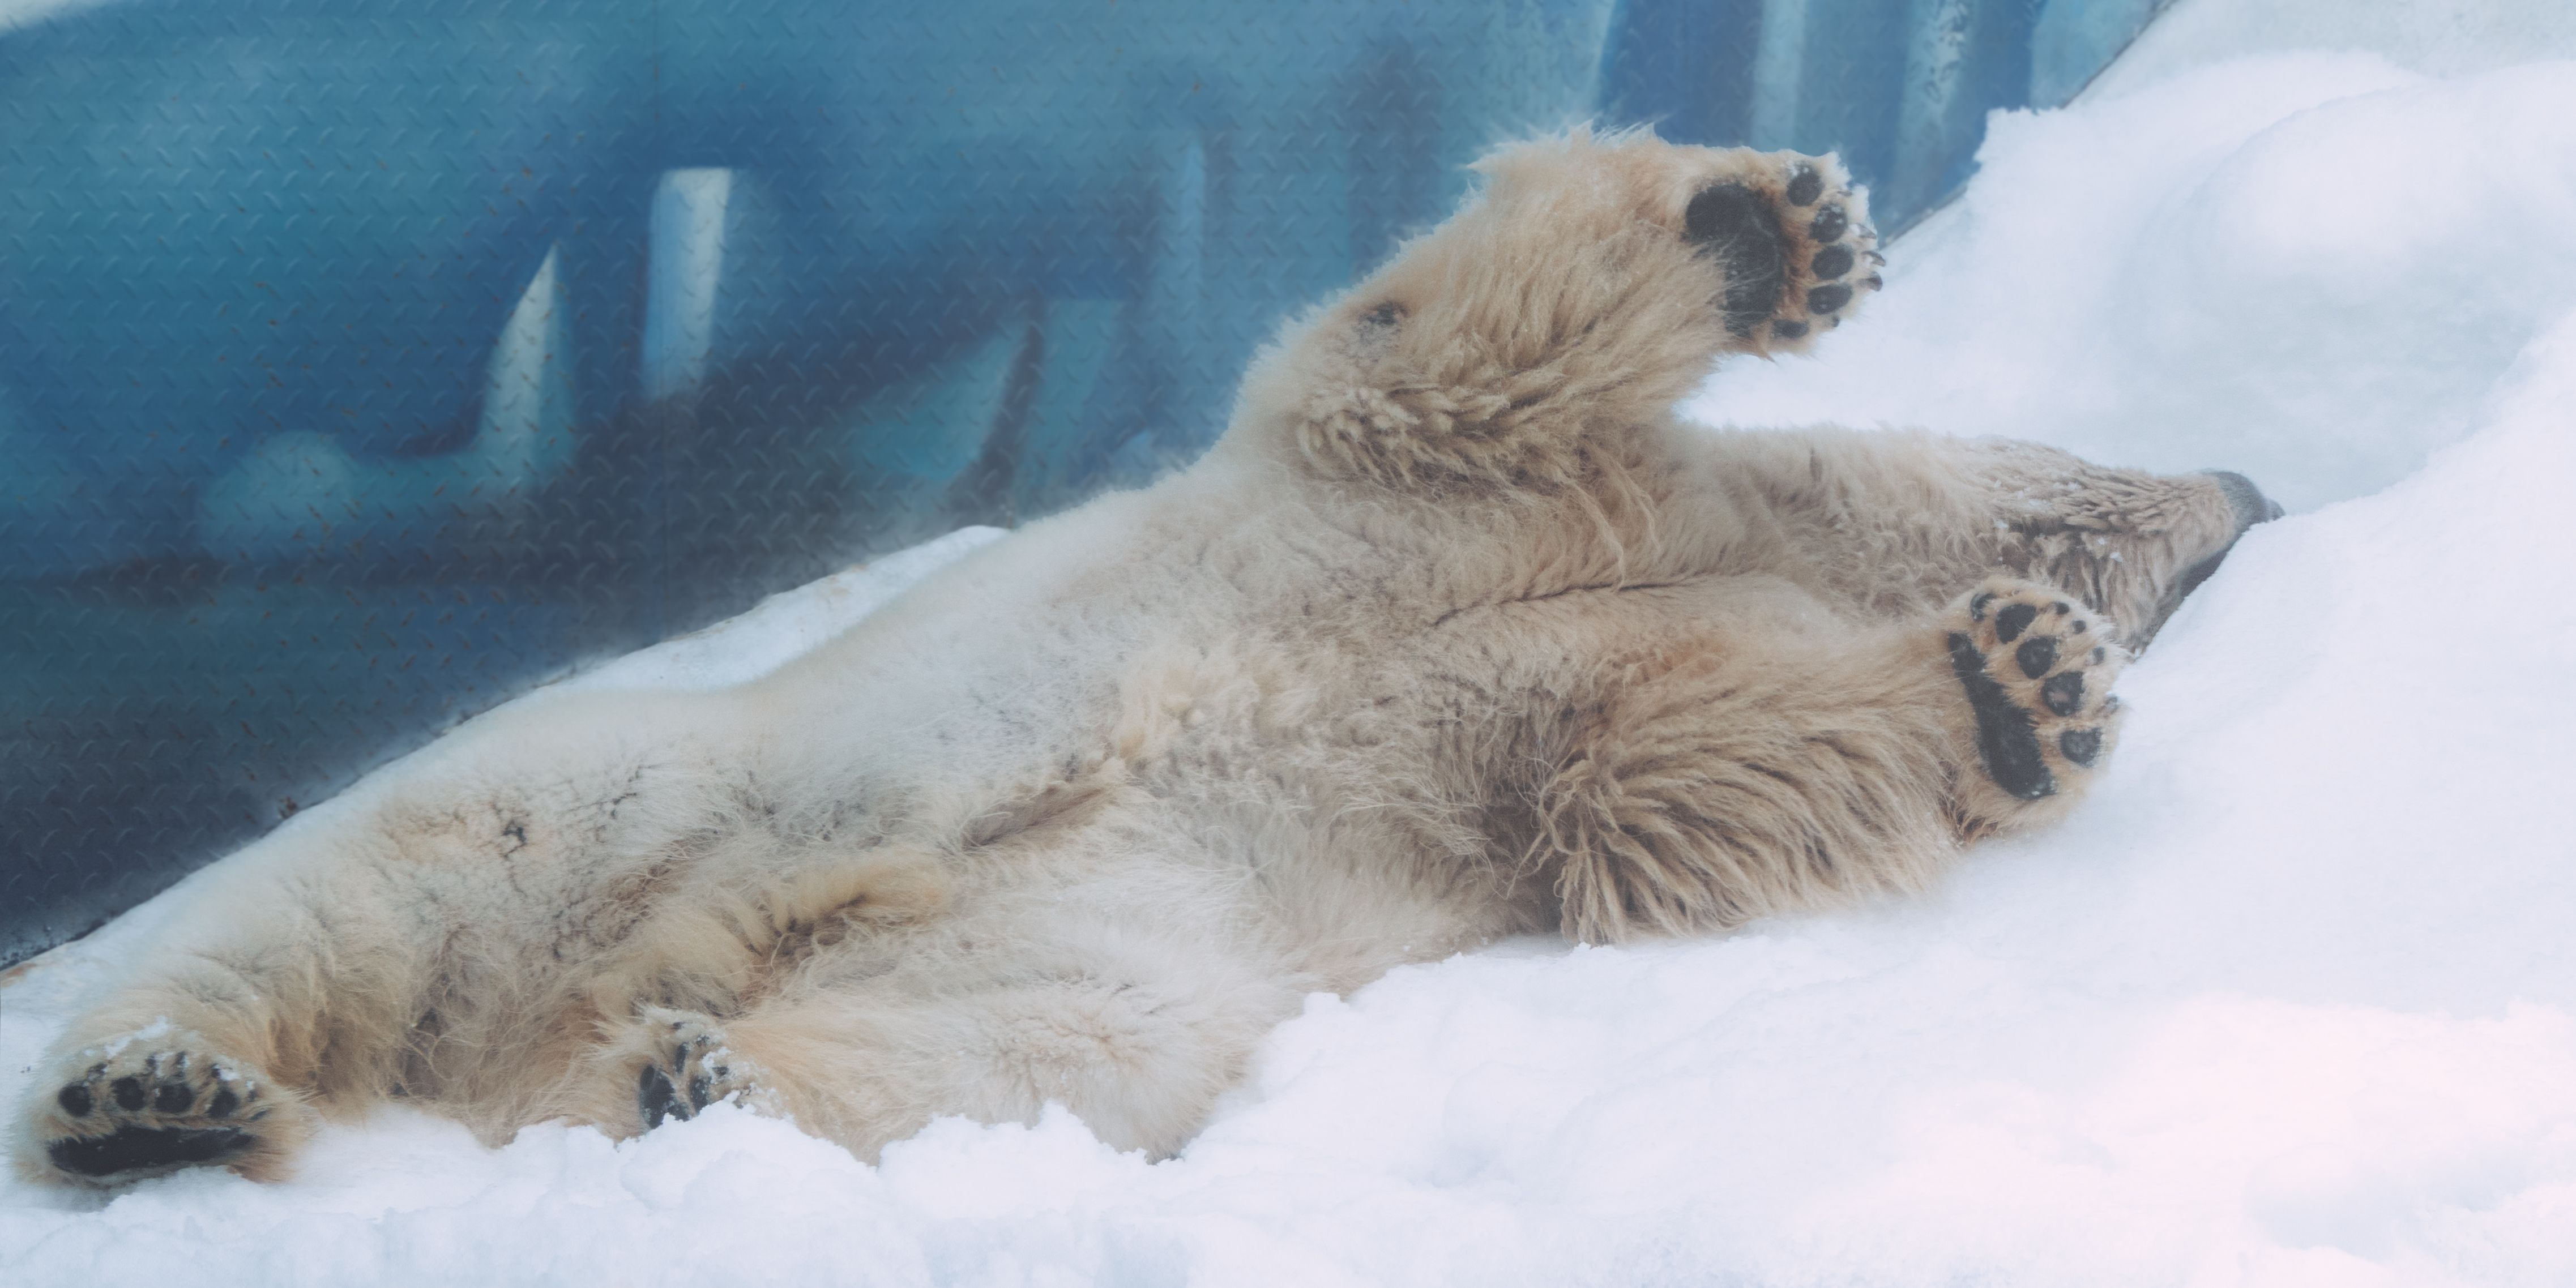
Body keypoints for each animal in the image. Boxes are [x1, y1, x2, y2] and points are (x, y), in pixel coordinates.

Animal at [16, 129, 2275, 1187]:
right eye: (2140, 514)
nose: (2251, 482)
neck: (1712, 534)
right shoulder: (1425, 484)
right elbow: (1459, 348)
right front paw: (1780, 230)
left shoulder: (1563, 687)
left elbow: (1656, 783)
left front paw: (2015, 687)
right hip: (610, 781)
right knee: (347, 895)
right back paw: (149, 1081)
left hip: (1092, 943)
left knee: (1026, 1037)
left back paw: (693, 1080)